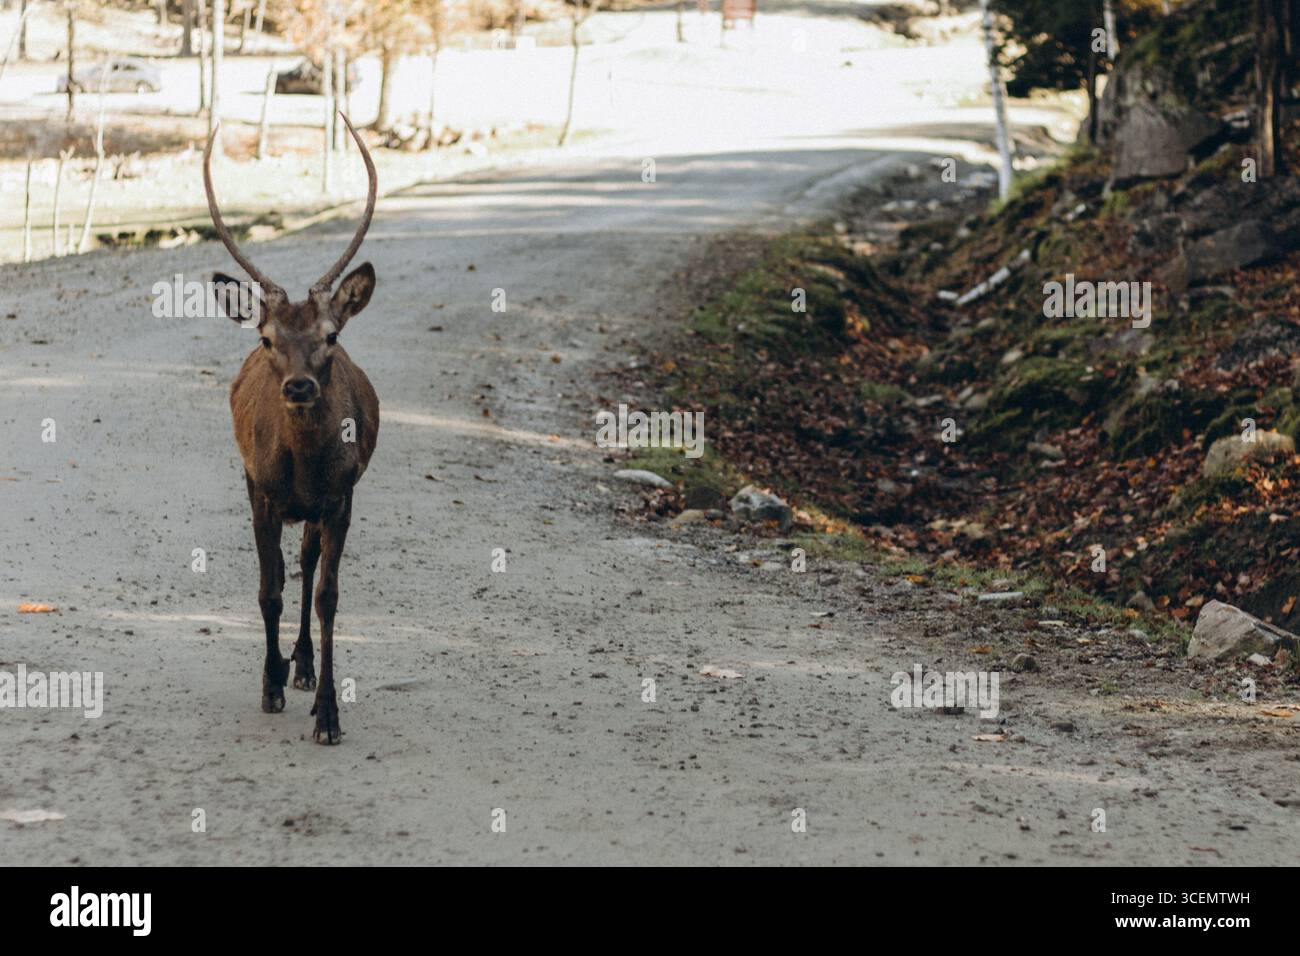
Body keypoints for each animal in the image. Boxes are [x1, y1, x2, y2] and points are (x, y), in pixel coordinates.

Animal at [204, 113, 378, 744]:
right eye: (266, 339)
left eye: (331, 335)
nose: (300, 387)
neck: (302, 466)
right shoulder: (260, 490)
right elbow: (268, 589)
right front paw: (270, 686)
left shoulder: (341, 497)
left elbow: (327, 595)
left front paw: (327, 714)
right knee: (283, 569)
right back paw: (282, 667)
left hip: (317, 510)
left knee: (306, 564)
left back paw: (301, 664)